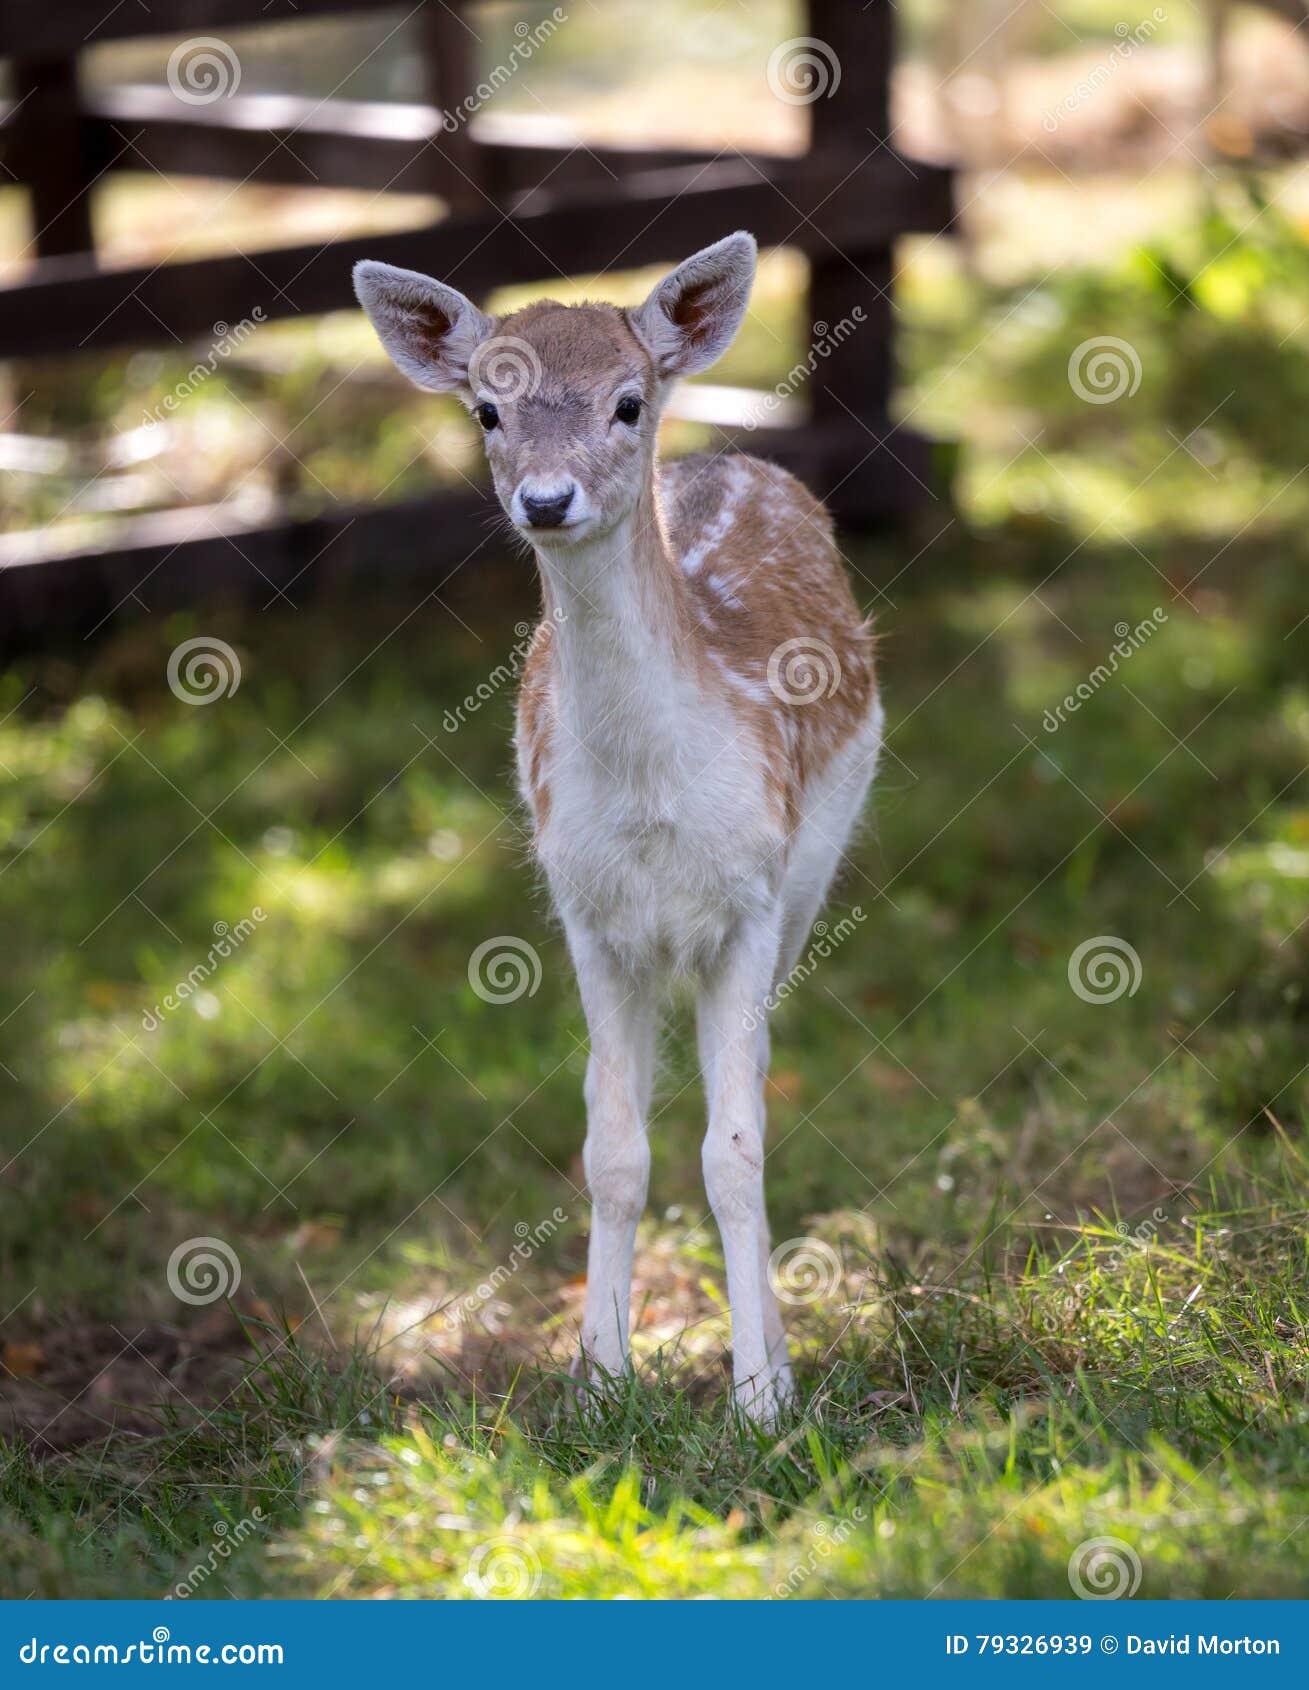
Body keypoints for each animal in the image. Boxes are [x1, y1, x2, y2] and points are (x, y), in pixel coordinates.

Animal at [354, 233, 882, 1424]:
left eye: (627, 401)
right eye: (487, 410)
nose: (546, 499)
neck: (651, 800)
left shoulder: (750, 897)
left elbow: (733, 1148)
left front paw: (760, 1402)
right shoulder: (586, 916)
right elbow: (611, 1152)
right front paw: (596, 1385)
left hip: (809, 875)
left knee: (757, 1079)